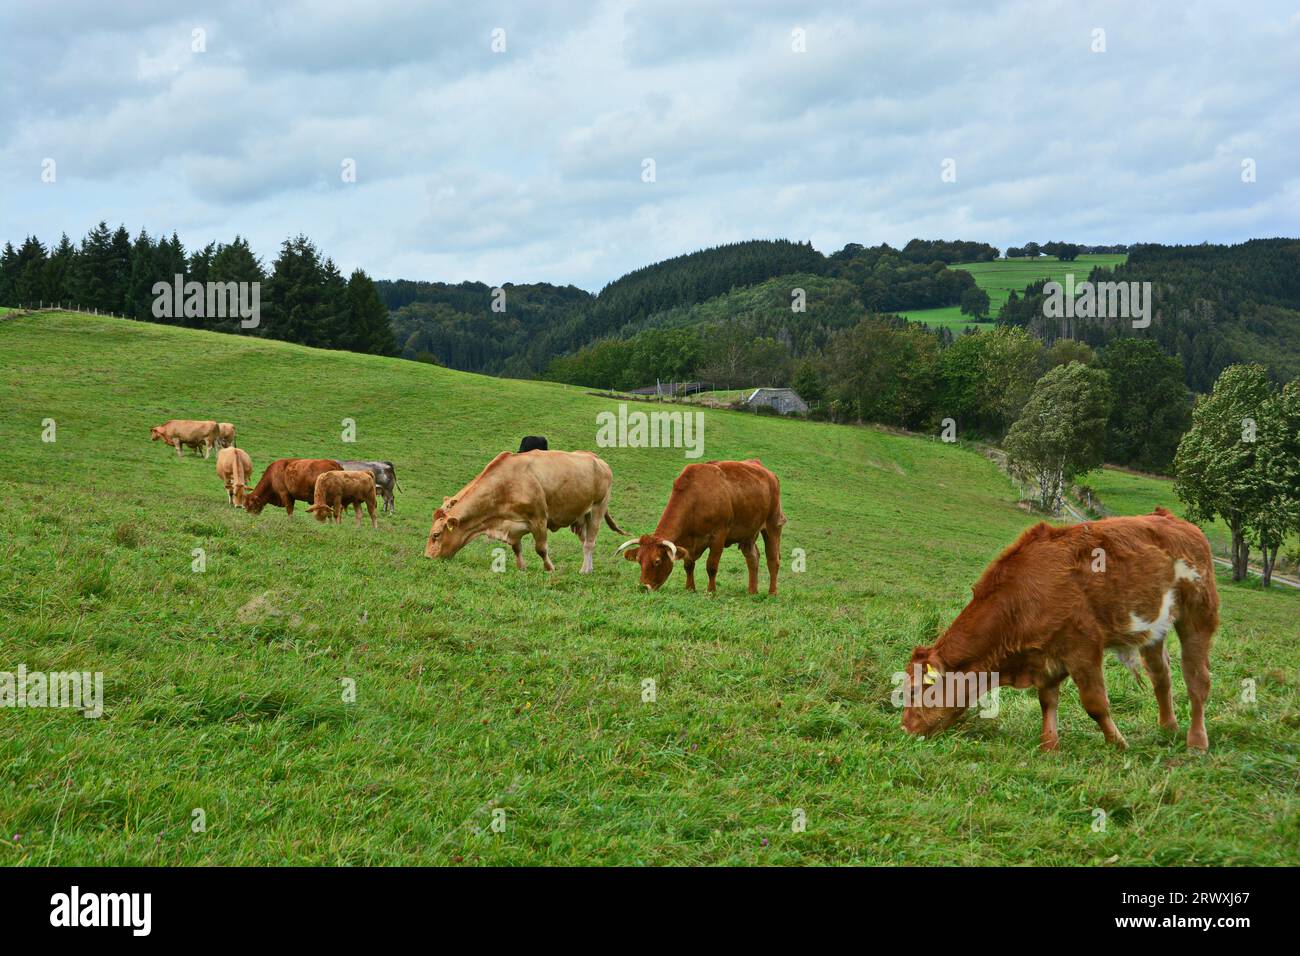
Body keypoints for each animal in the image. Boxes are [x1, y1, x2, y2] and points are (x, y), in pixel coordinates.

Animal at [425, 450, 625, 572]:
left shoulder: (539, 519)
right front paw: (522, 568)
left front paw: (550, 569)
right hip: (581, 517)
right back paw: (589, 568)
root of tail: (596, 458)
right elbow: (516, 547)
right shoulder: (513, 526)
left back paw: (584, 570)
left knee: (589, 543)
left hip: (598, 508)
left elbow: (541, 548)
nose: (427, 557)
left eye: (436, 535)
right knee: (586, 542)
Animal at [614, 459, 785, 595]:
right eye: (639, 560)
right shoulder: (687, 542)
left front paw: (711, 591)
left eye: (657, 561)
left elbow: (711, 566)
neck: (696, 498)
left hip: (773, 524)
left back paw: (772, 592)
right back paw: (752, 591)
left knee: (773, 559)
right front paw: (690, 588)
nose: (643, 587)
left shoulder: (719, 536)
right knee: (752, 557)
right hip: (749, 532)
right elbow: (688, 565)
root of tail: (767, 472)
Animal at [899, 508, 1219, 752]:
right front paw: (1049, 744)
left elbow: (1095, 704)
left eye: (915, 690)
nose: (905, 728)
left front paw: (1118, 744)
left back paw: (1197, 741)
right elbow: (1047, 701)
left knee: (1197, 680)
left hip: (1199, 614)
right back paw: (1168, 728)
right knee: (1161, 676)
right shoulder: (1044, 654)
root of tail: (1173, 519)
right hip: (1155, 628)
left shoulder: (1084, 649)